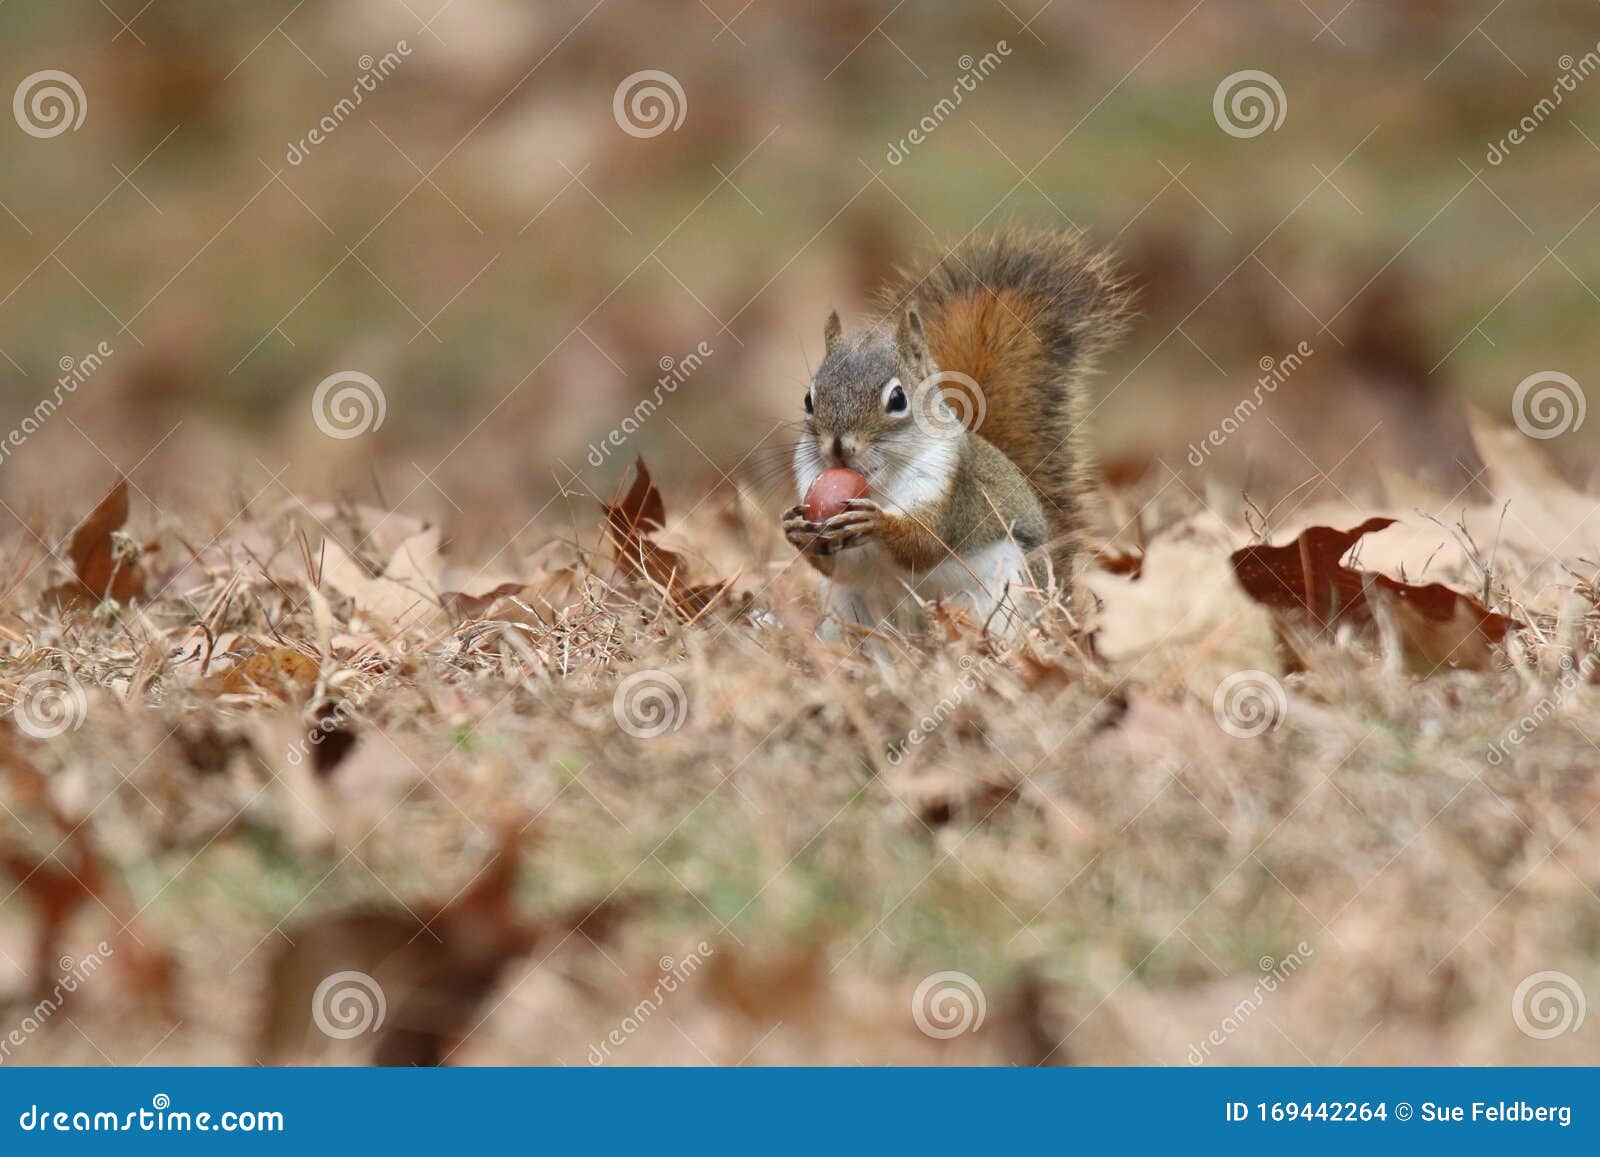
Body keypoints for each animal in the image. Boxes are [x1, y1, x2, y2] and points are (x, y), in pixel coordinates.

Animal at [784, 228, 1132, 637]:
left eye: (898, 398)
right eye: (808, 399)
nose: (838, 447)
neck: (880, 485)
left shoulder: (955, 489)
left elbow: (925, 544)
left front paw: (877, 523)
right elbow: (834, 565)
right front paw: (794, 529)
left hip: (1006, 597)